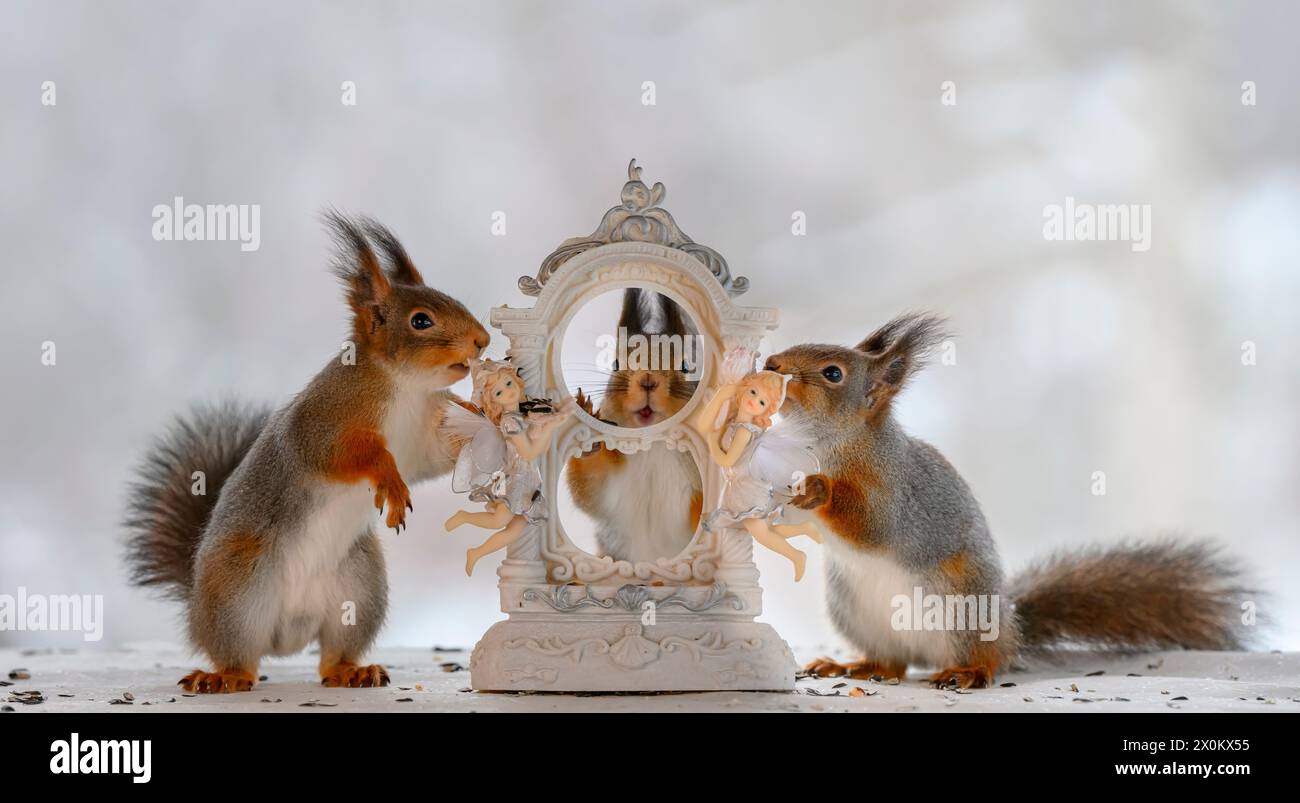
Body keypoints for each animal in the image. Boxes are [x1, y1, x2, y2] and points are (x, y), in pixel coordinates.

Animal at [123, 212, 489, 693]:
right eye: (421, 321)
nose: (483, 341)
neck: (406, 388)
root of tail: (288, 635)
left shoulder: (425, 439)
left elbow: (442, 454)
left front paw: (490, 422)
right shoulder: (323, 424)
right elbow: (350, 456)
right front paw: (390, 482)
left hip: (360, 589)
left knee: (332, 654)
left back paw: (353, 670)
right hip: (237, 587)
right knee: (239, 655)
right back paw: (225, 677)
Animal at [566, 288, 703, 562]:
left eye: (686, 366)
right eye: (615, 364)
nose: (648, 380)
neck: (653, 441)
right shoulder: (612, 488)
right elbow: (591, 491)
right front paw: (588, 439)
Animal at [765, 311, 1254, 689]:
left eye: (833, 373)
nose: (771, 363)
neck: (830, 443)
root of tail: (1011, 630)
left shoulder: (897, 492)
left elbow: (870, 523)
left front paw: (818, 489)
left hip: (964, 604)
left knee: (986, 657)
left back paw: (969, 672)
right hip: (852, 608)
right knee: (894, 662)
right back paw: (857, 666)